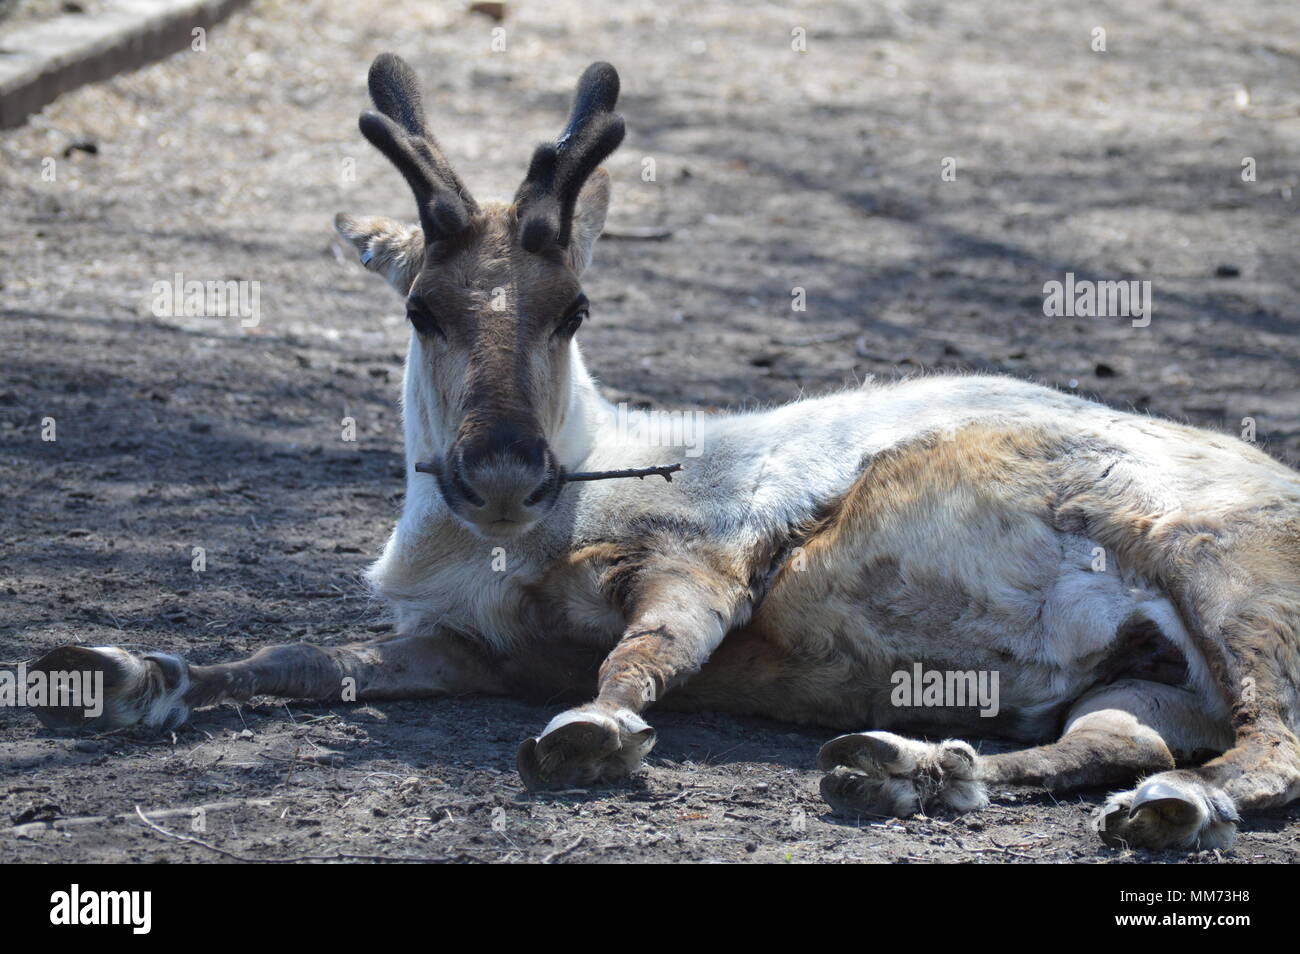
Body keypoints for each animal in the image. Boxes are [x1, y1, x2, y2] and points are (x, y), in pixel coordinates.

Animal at [28, 55, 1300, 852]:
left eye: (575, 306)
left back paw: (1172, 811)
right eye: (422, 308)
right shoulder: (463, 646)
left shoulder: (701, 562)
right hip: (1146, 669)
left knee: (1269, 745)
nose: (503, 469)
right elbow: (293, 654)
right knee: (1117, 732)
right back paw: (904, 768)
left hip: (1222, 575)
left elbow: (645, 650)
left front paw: (590, 738)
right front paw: (106, 672)